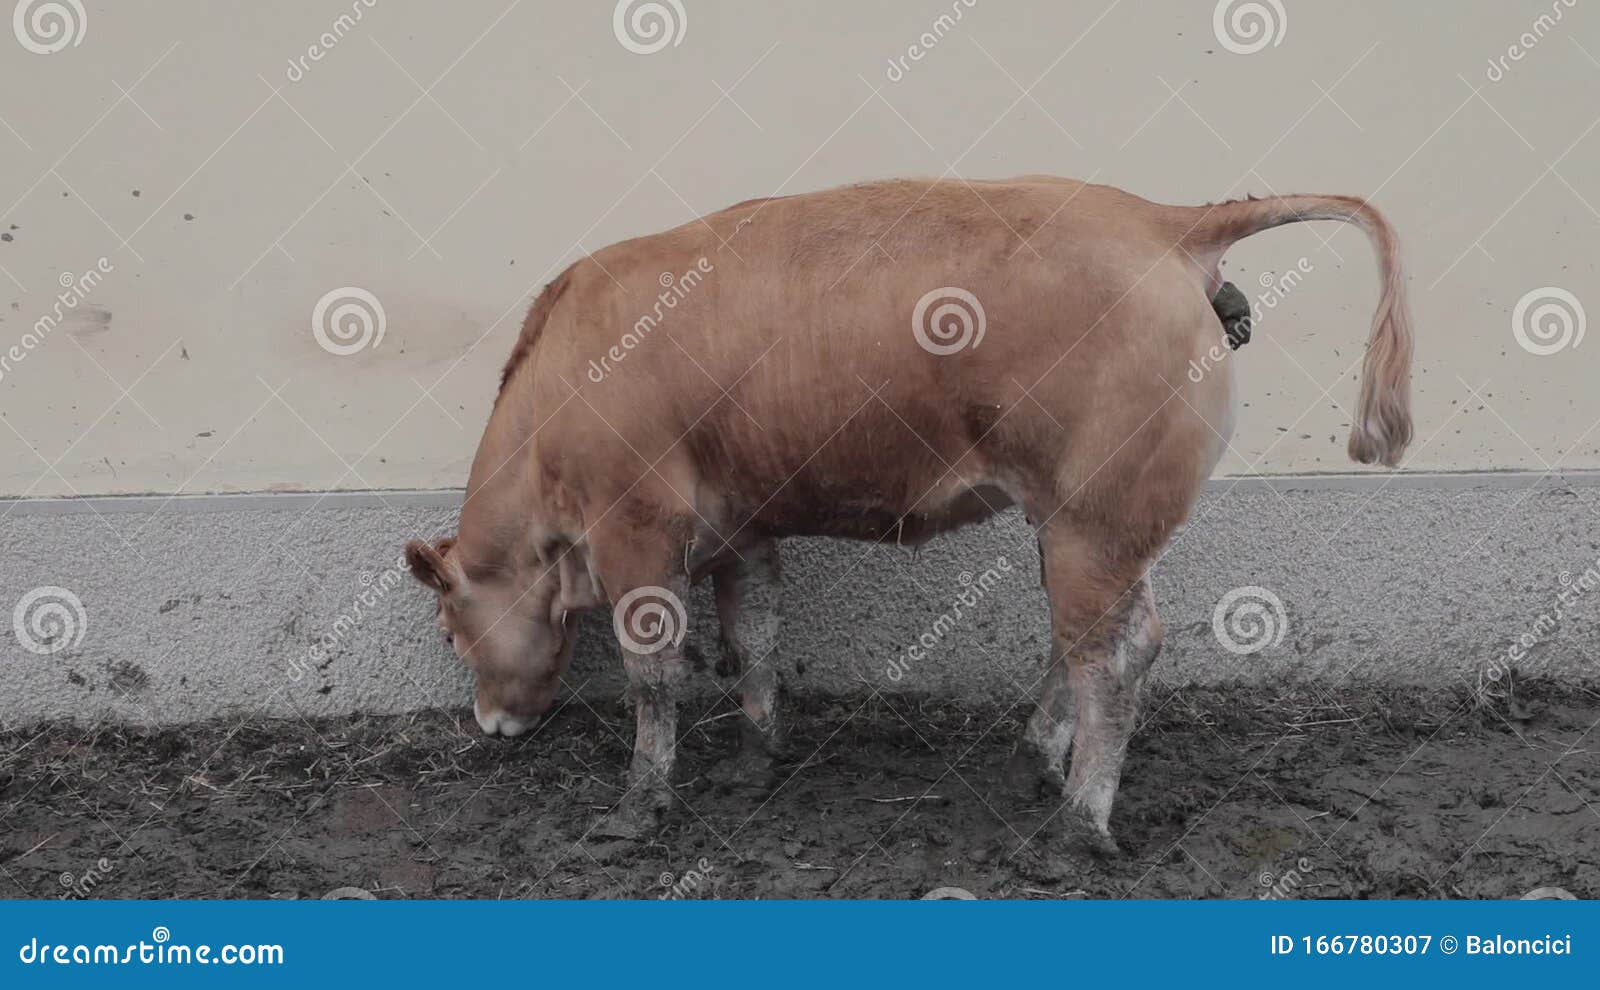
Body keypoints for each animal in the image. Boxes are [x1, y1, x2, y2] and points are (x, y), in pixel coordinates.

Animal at [405, 175, 1413, 850]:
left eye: (452, 629)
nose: (490, 724)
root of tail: (1158, 219)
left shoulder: (636, 524)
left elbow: (652, 675)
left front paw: (635, 809)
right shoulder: (742, 528)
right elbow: (754, 636)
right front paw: (754, 759)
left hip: (1099, 515)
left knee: (1119, 654)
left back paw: (1078, 825)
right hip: (1092, 523)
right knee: (1080, 641)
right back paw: (1032, 763)